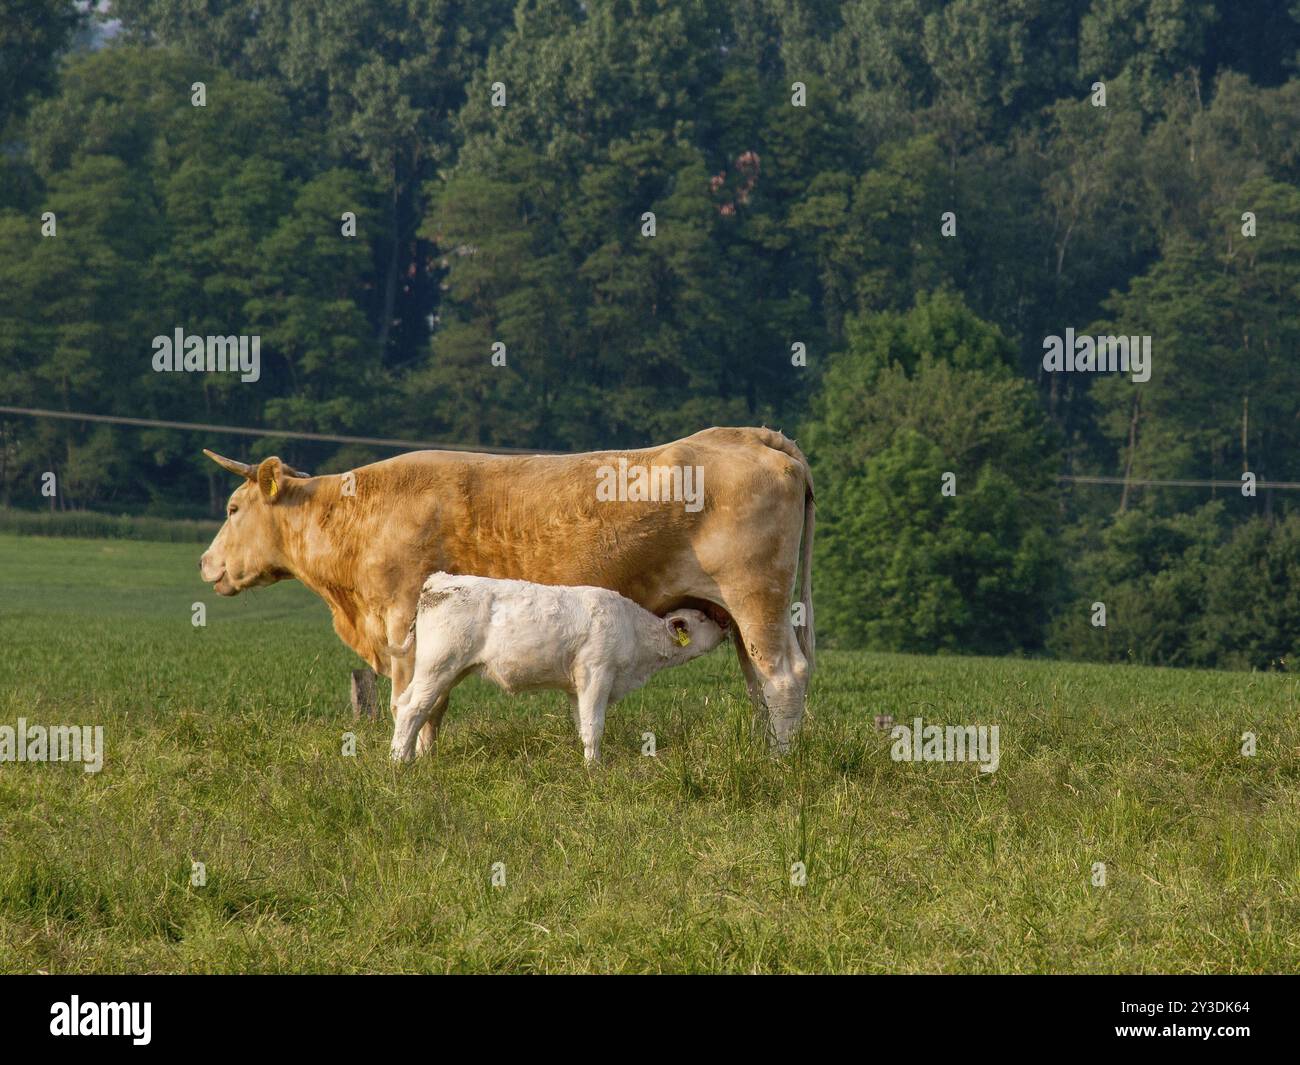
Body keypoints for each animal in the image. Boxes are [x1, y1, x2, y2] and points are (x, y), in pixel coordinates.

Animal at [387, 573, 727, 763]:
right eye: (703, 618)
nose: (726, 625)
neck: (633, 629)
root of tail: (441, 580)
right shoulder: (596, 673)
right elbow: (594, 726)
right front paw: (595, 768)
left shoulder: (578, 687)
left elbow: (582, 725)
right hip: (438, 666)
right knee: (413, 710)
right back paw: (398, 763)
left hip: (443, 672)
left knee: (411, 706)